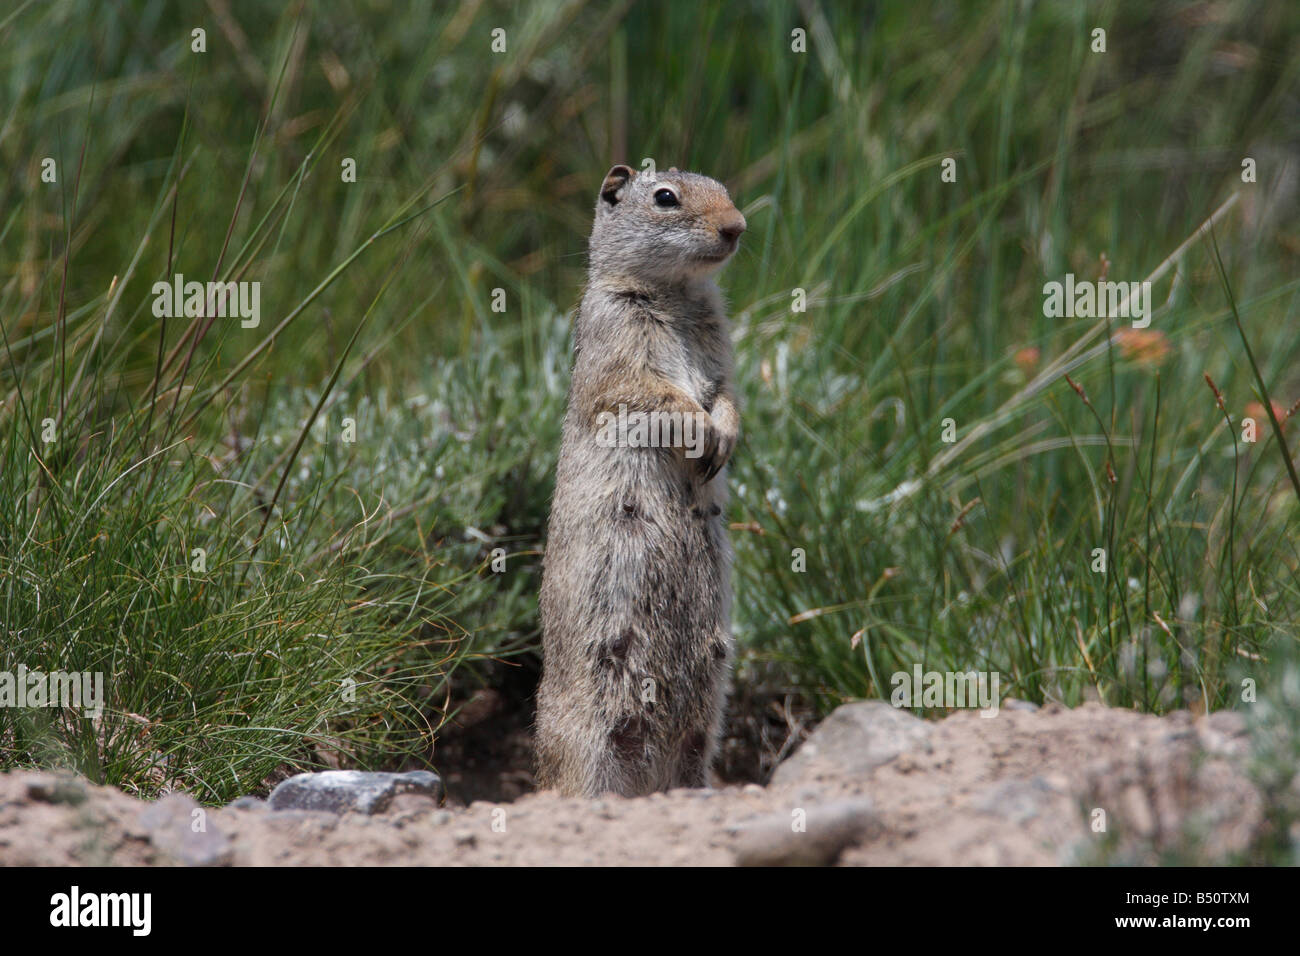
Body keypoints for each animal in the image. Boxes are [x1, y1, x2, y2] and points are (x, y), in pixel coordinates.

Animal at [535, 164, 746, 798]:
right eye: (665, 198)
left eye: (725, 190)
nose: (737, 227)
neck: (678, 293)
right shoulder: (619, 345)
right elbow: (653, 393)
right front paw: (702, 431)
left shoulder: (721, 351)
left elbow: (726, 394)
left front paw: (724, 433)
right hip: (588, 744)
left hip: (701, 736)